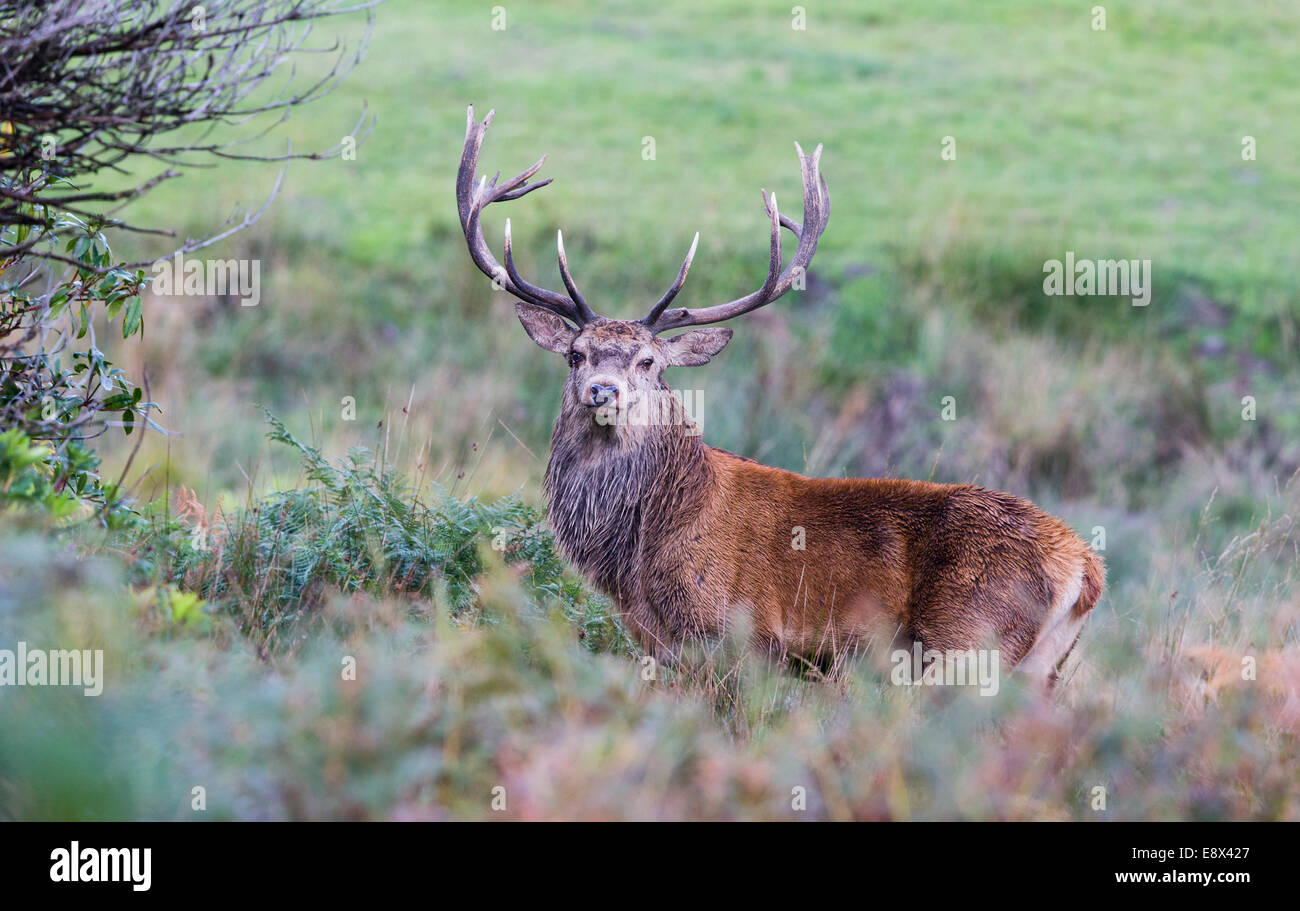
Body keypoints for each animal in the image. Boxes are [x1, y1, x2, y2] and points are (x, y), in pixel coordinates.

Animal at [456, 106, 1105, 686]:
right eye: (575, 354)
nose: (602, 390)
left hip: (967, 643)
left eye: (650, 362)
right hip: (1042, 667)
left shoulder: (732, 635)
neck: (640, 553)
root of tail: (1084, 567)